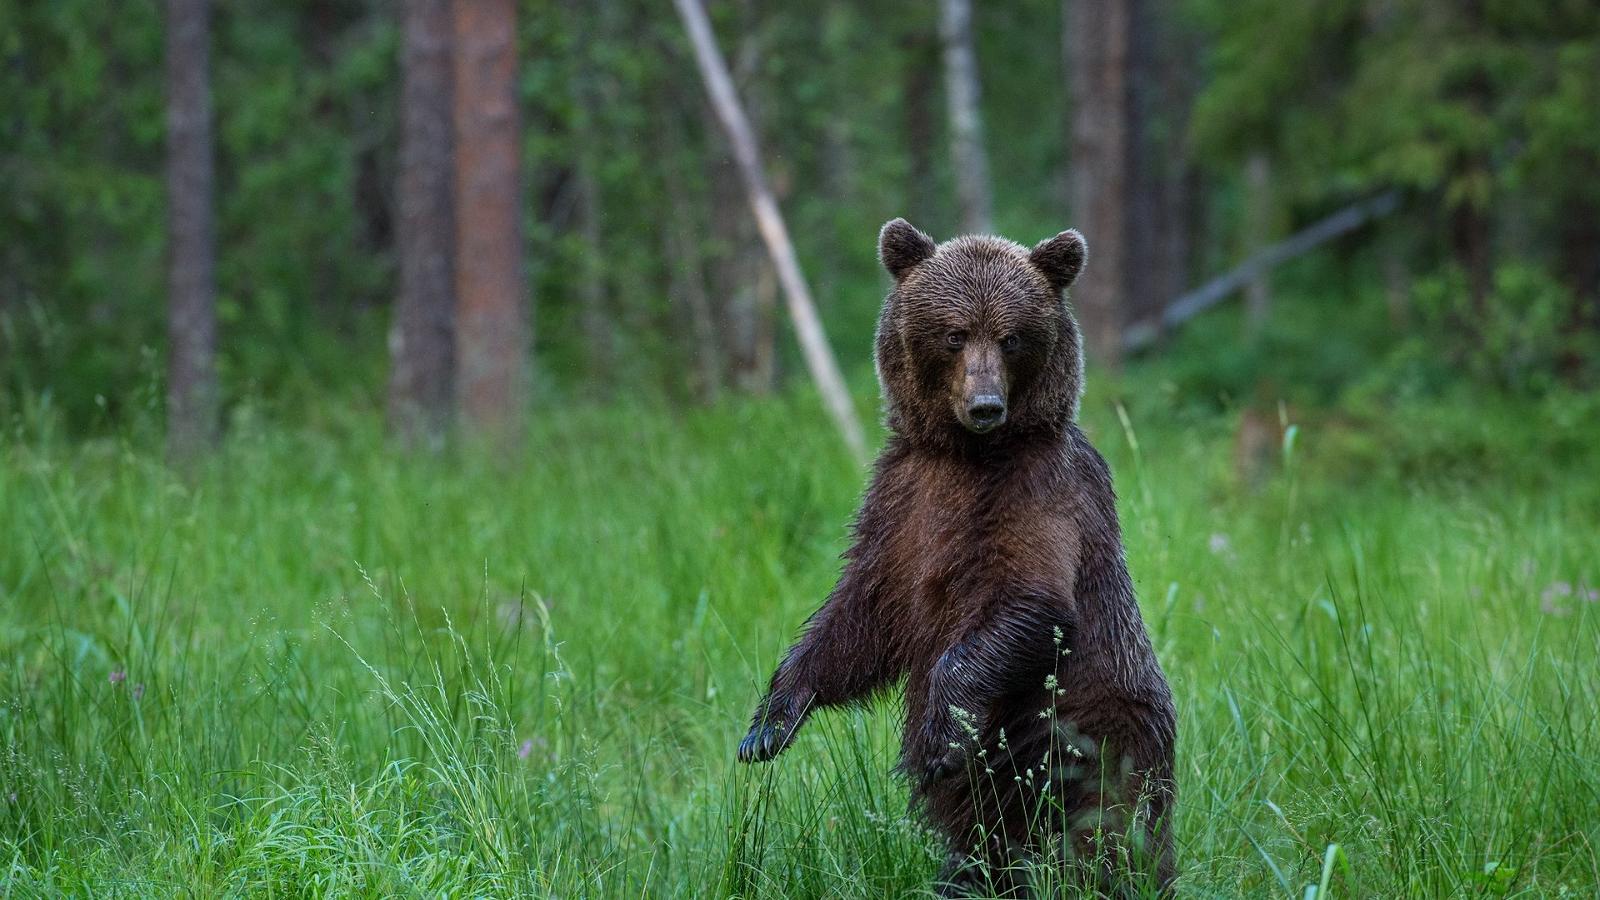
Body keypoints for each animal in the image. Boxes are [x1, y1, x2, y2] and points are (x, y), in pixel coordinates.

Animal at [736, 218, 1178, 897]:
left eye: (1012, 336)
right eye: (953, 333)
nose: (985, 405)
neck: (967, 455)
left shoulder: (1040, 492)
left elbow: (1029, 600)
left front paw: (937, 739)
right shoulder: (902, 503)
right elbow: (858, 618)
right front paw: (769, 723)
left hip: (1090, 735)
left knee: (1106, 830)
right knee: (981, 842)